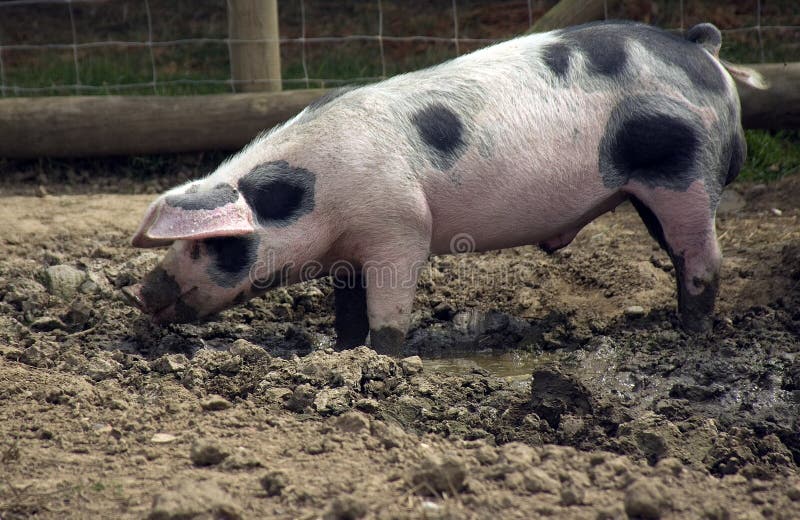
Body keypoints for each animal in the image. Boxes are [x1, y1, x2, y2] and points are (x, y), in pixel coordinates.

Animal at [124, 21, 767, 357]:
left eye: (215, 244)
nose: (141, 293)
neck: (318, 194)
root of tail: (701, 48)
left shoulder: (400, 227)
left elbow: (388, 310)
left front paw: (382, 357)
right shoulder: (349, 252)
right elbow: (347, 309)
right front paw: (343, 351)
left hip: (683, 173)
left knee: (703, 258)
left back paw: (689, 336)